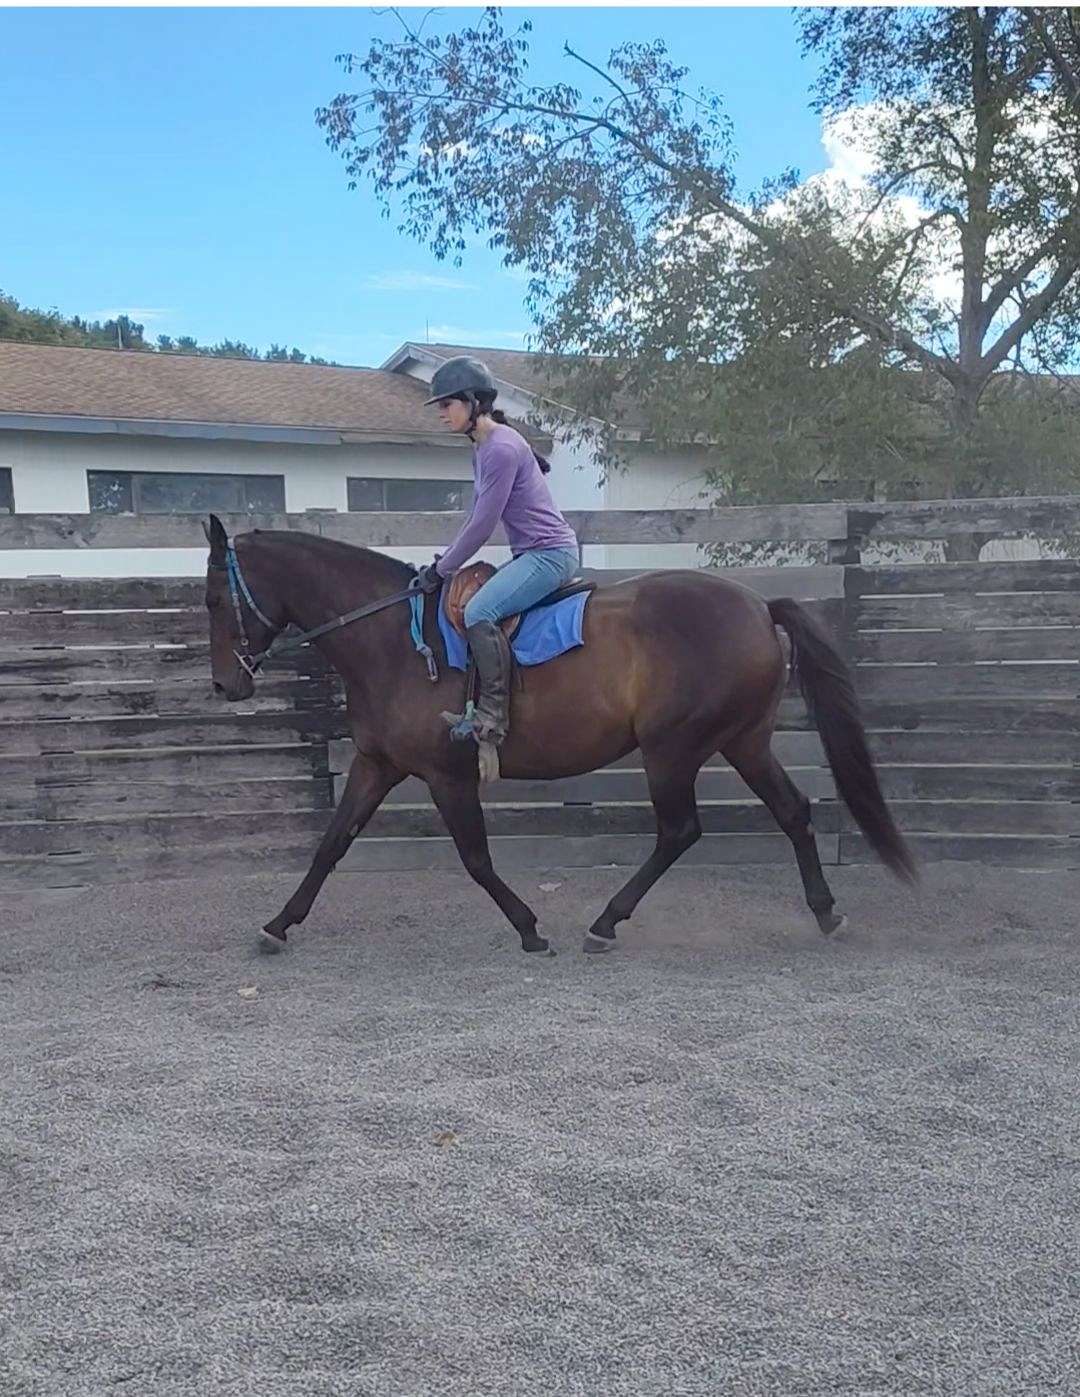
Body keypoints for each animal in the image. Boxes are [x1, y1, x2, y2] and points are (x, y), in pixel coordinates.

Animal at [203, 514, 915, 955]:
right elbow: (331, 845)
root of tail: (759, 606)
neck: (393, 642)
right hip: (743, 741)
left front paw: (529, 929)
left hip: (673, 749)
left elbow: (477, 859)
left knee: (680, 831)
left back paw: (605, 923)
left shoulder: (447, 775)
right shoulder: (376, 764)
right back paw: (825, 911)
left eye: (212, 600)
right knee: (792, 811)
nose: (224, 685)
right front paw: (278, 925)